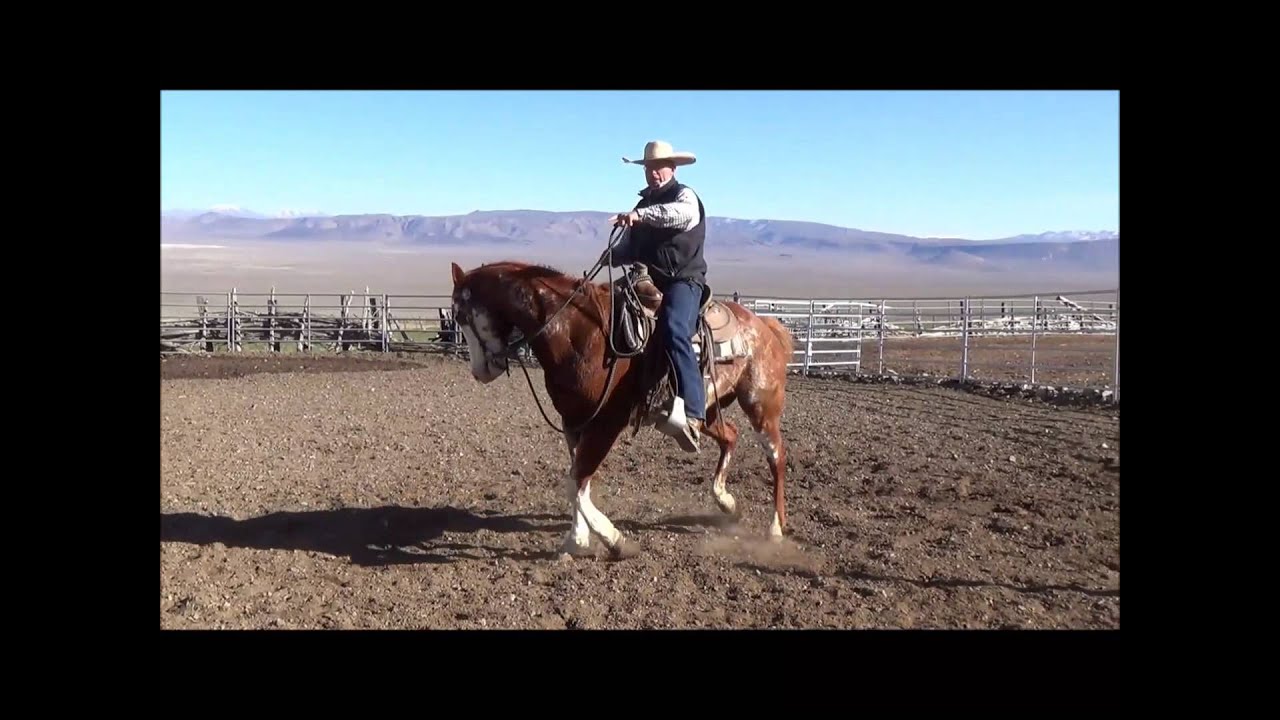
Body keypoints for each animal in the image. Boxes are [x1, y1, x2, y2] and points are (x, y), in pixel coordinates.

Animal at [448, 253, 795, 560]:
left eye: (462, 316)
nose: (479, 372)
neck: (578, 331)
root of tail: (764, 325)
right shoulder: (574, 422)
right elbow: (578, 481)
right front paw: (577, 539)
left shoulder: (606, 423)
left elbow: (575, 483)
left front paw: (614, 540)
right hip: (708, 411)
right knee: (731, 436)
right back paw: (726, 502)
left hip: (761, 405)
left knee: (776, 455)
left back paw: (775, 529)